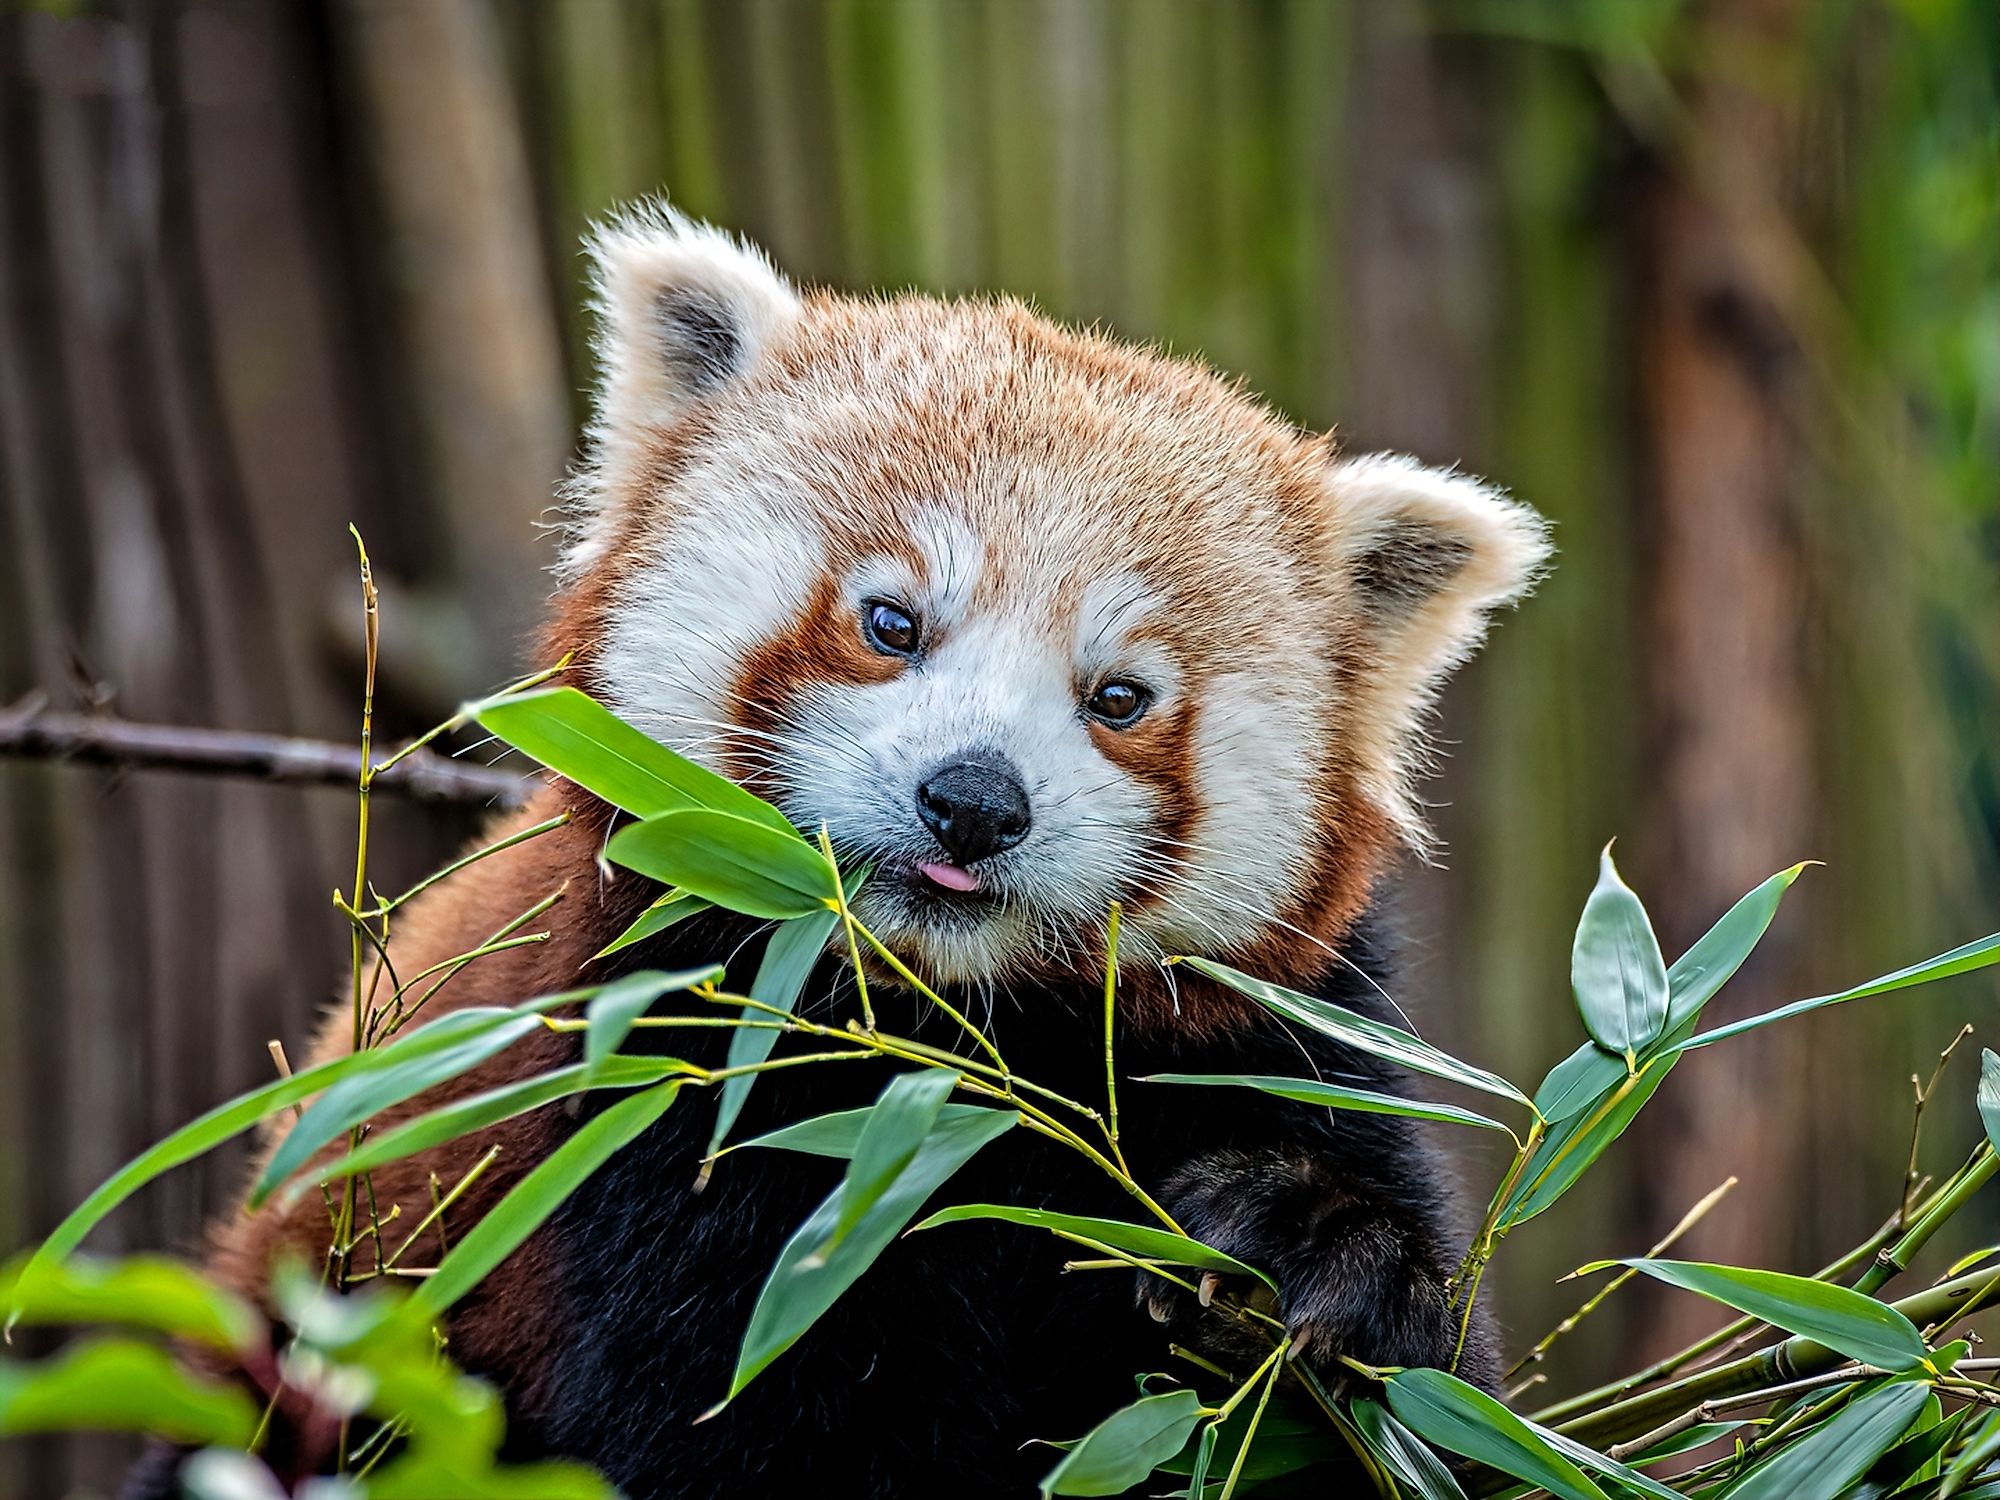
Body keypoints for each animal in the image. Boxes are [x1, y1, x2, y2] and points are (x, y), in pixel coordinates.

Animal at [156, 205, 1549, 1498]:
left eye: (1118, 699)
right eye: (889, 622)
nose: (973, 803)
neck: (954, 1065)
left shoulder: (1296, 1039)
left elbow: (1447, 1411)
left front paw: (1309, 1244)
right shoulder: (667, 1103)